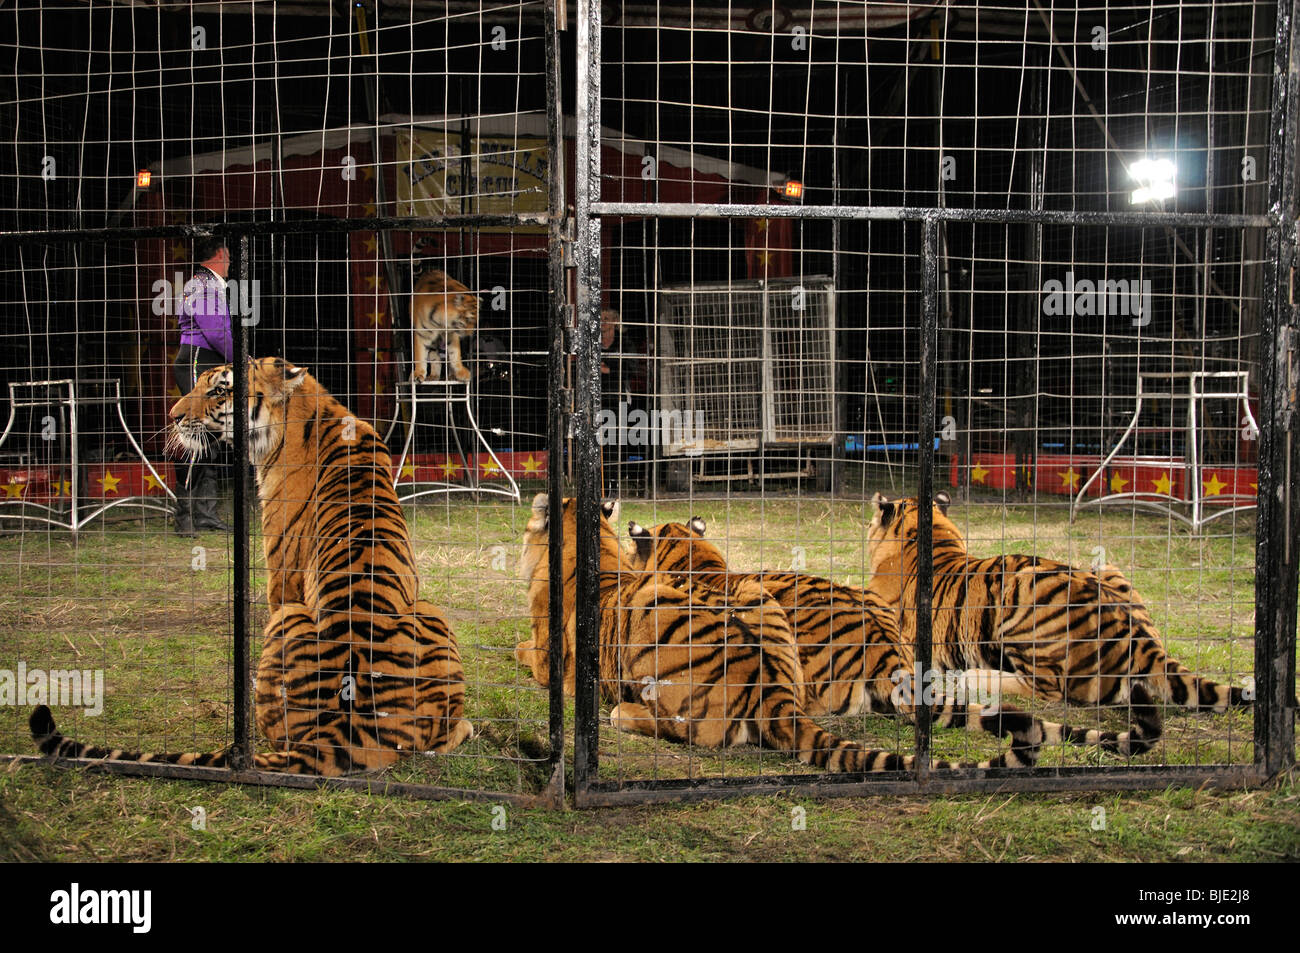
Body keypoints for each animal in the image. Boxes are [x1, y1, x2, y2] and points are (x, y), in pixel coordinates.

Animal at [30, 357, 473, 775]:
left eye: (218, 391)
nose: (172, 416)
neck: (311, 411)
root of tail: (343, 728)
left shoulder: (282, 575)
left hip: (301, 616)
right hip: (432, 613)